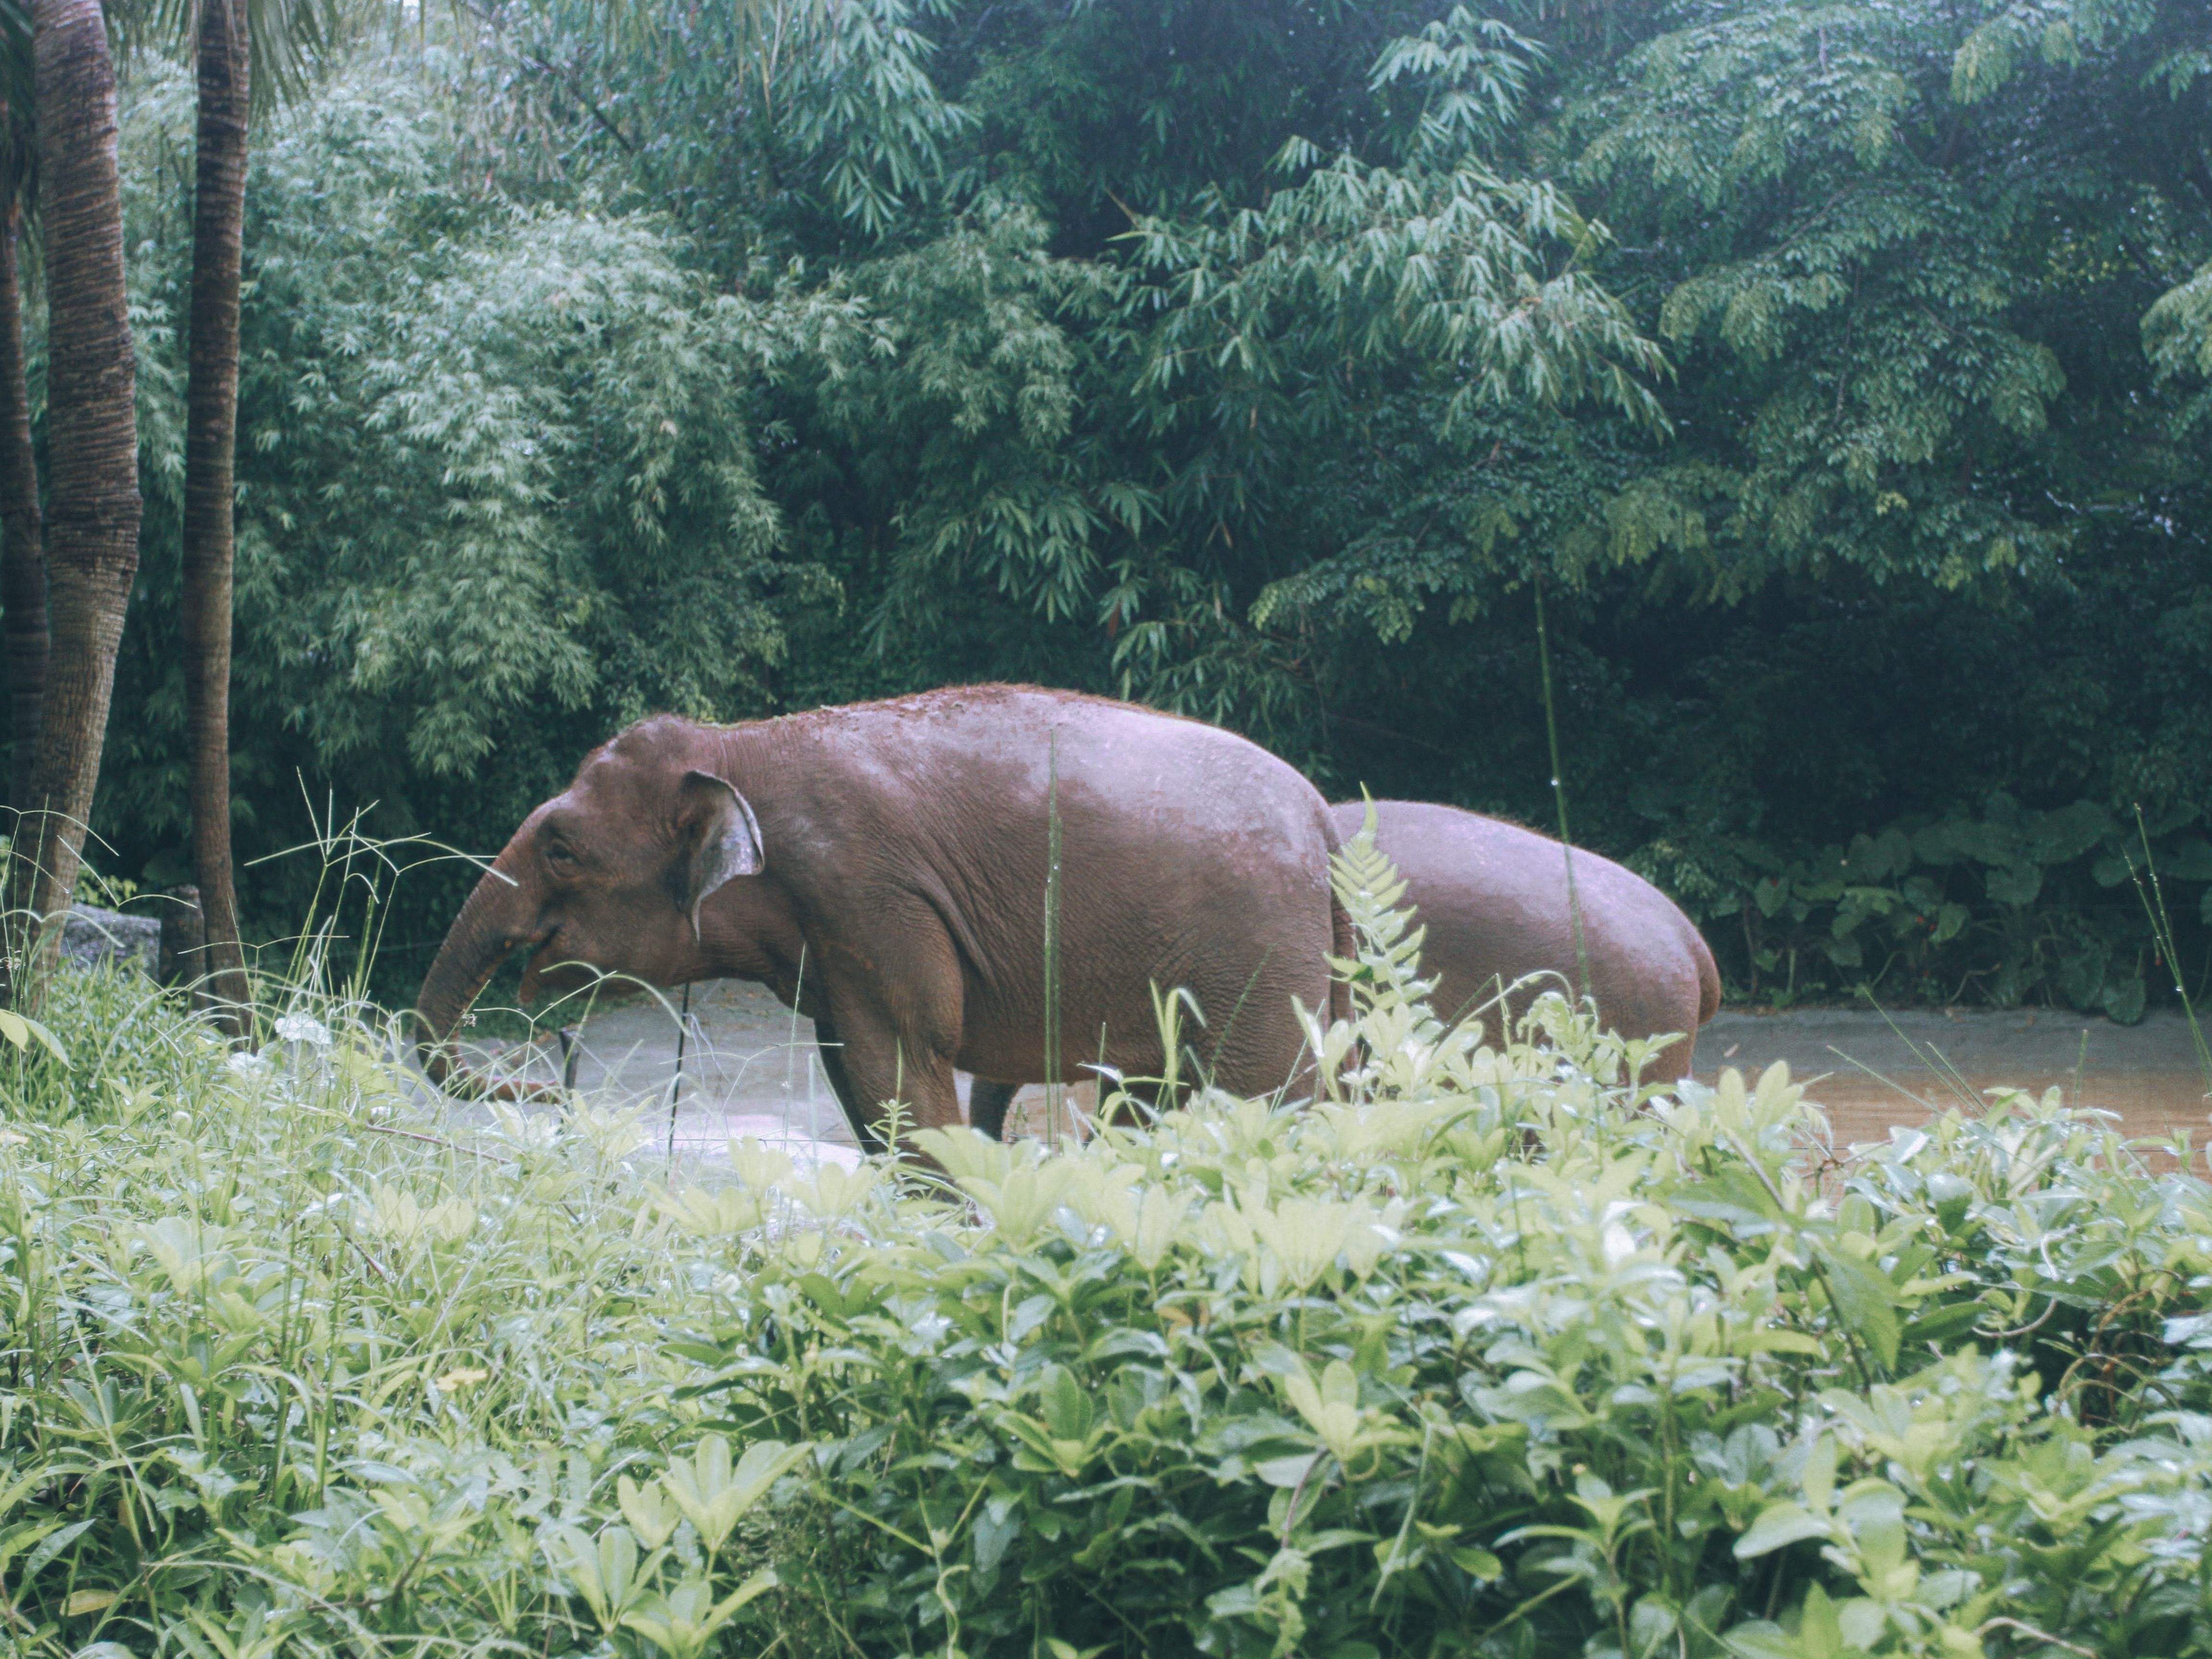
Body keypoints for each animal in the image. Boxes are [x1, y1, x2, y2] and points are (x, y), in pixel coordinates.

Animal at [413, 685, 1348, 1151]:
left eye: (561, 850)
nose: (545, 1083)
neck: (735, 745)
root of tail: (1323, 822)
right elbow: (859, 1085)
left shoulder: (866, 896)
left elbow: (900, 1065)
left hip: (1259, 957)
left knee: (1266, 1104)